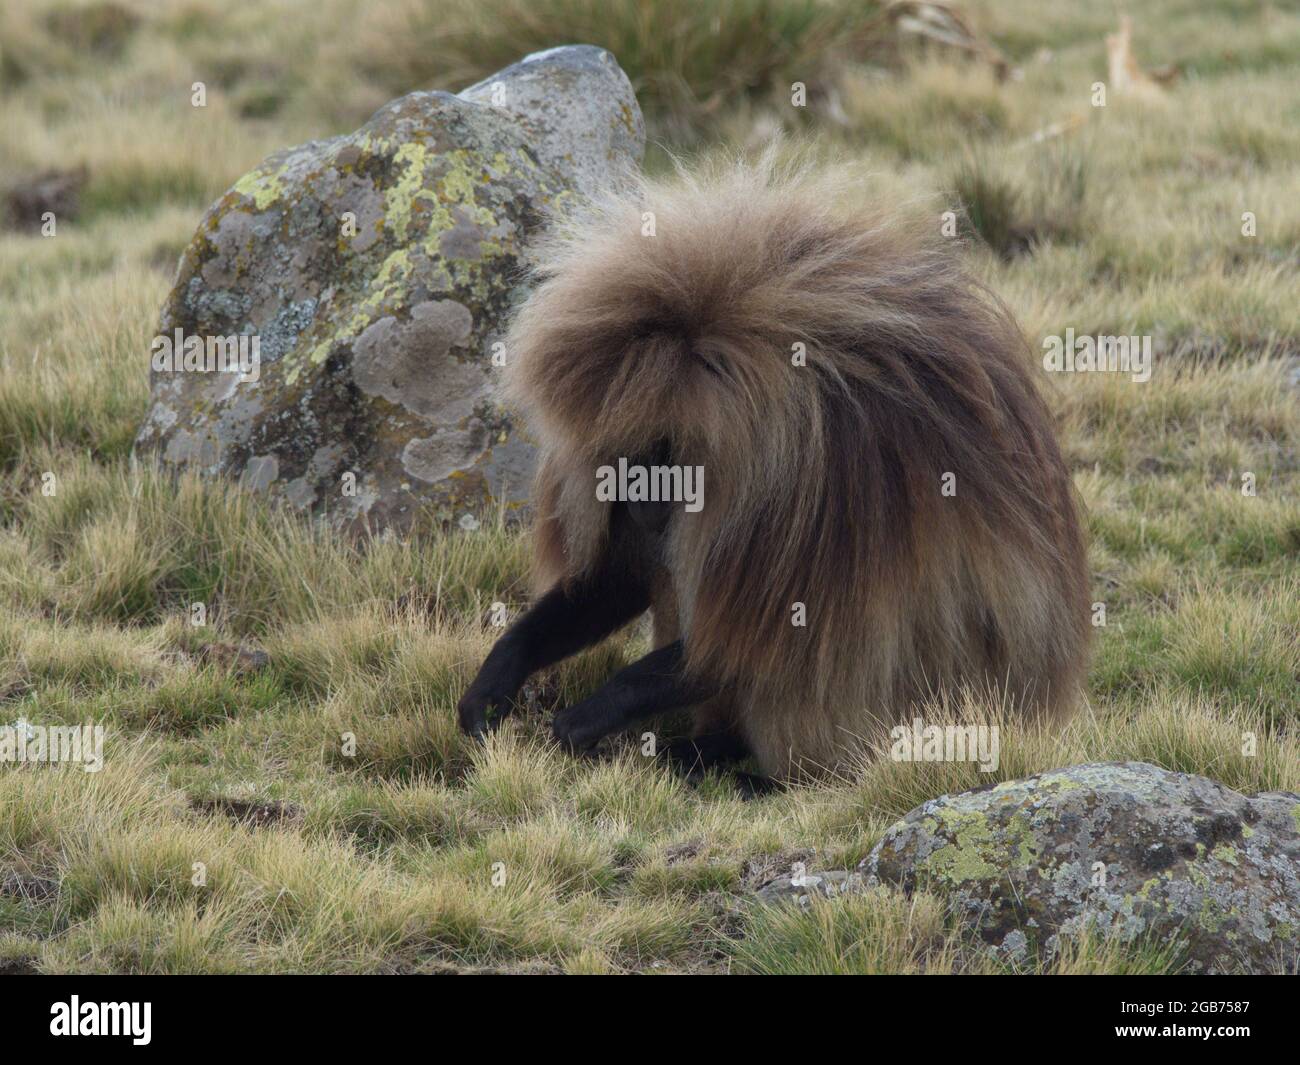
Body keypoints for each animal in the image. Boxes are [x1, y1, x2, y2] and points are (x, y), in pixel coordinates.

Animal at [457, 151, 1091, 785]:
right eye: (626, 451)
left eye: (664, 446)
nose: (640, 500)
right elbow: (620, 578)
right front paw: (498, 677)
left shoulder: (805, 477)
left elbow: (759, 639)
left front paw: (585, 719)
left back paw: (742, 768)